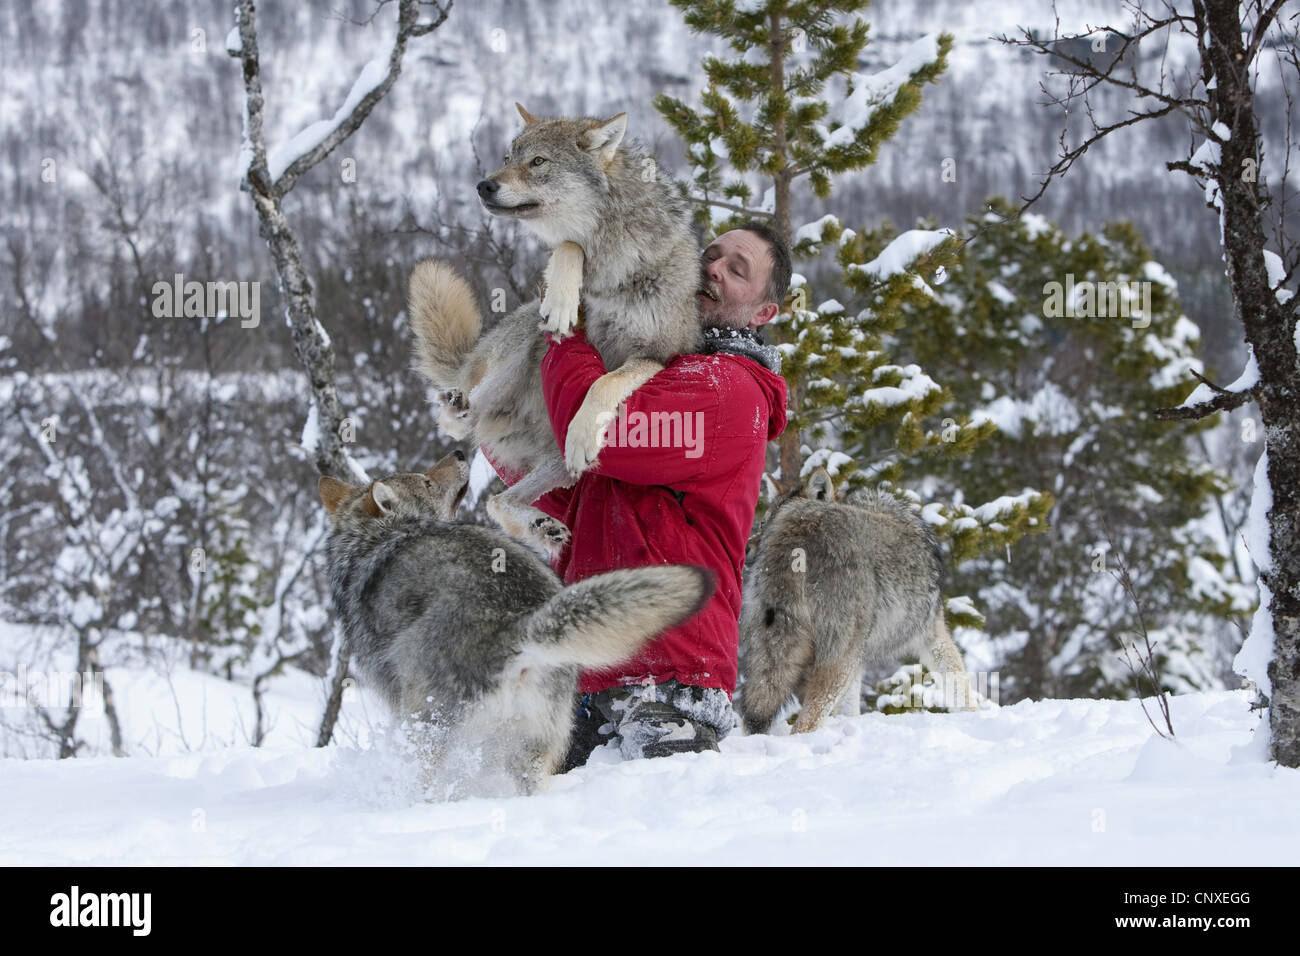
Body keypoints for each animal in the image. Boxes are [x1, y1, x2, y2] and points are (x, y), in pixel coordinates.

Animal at [318, 450, 713, 797]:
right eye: (427, 481)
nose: (460, 453)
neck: (377, 536)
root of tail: (520, 629)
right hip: (531, 750)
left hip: (431, 729)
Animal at [408, 104, 701, 554]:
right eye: (508, 157)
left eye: (538, 162)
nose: (484, 185)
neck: (613, 261)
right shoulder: (572, 260)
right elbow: (568, 246)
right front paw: (563, 299)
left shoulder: (658, 355)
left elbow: (604, 383)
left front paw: (582, 434)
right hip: (528, 343)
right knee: (462, 424)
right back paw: (458, 407)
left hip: (560, 464)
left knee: (496, 501)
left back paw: (541, 526)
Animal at [739, 468, 977, 735]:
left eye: (764, 524)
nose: (746, 548)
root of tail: (798, 526)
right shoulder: (932, 633)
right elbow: (960, 687)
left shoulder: (860, 659)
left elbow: (850, 709)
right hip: (838, 659)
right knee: (805, 724)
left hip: (765, 650)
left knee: (754, 713)